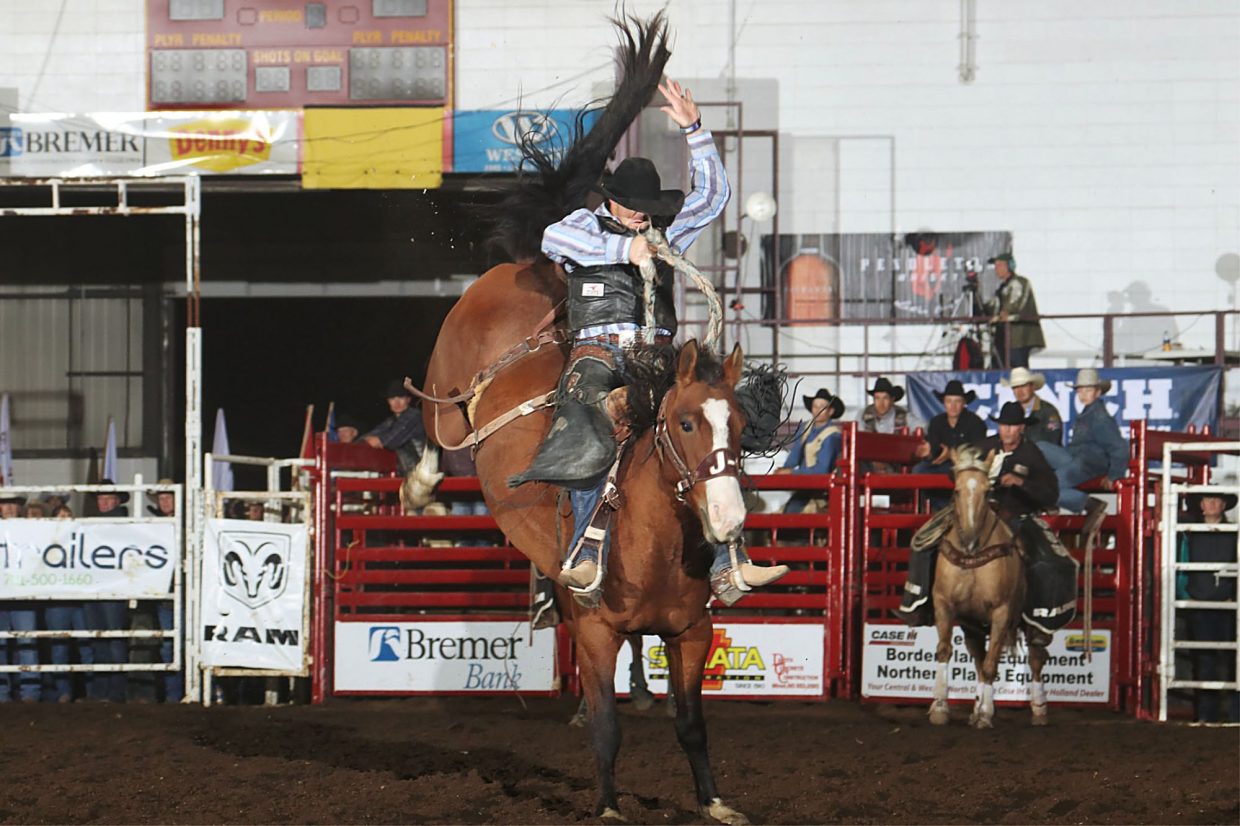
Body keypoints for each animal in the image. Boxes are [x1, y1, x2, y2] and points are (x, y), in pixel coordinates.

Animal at [927, 445, 1054, 729]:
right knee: (978, 657)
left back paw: (1039, 710)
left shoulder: (1001, 612)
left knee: (1036, 658)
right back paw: (975, 708)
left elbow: (991, 664)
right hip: (971, 624)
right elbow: (945, 652)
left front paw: (985, 714)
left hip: (1034, 625)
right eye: (956, 490)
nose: (970, 539)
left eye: (988, 492)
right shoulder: (944, 605)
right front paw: (940, 708)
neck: (972, 557)